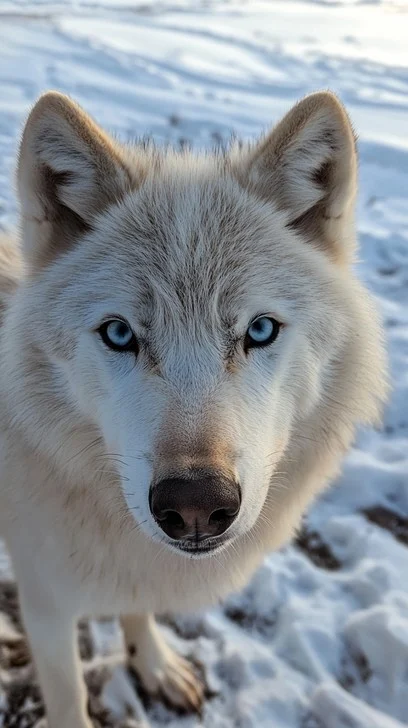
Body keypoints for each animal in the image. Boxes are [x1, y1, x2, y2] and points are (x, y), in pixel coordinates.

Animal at [0, 90, 387, 727]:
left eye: (260, 330)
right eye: (120, 334)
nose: (197, 506)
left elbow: (138, 607)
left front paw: (154, 665)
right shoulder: (46, 601)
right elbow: (69, 697)